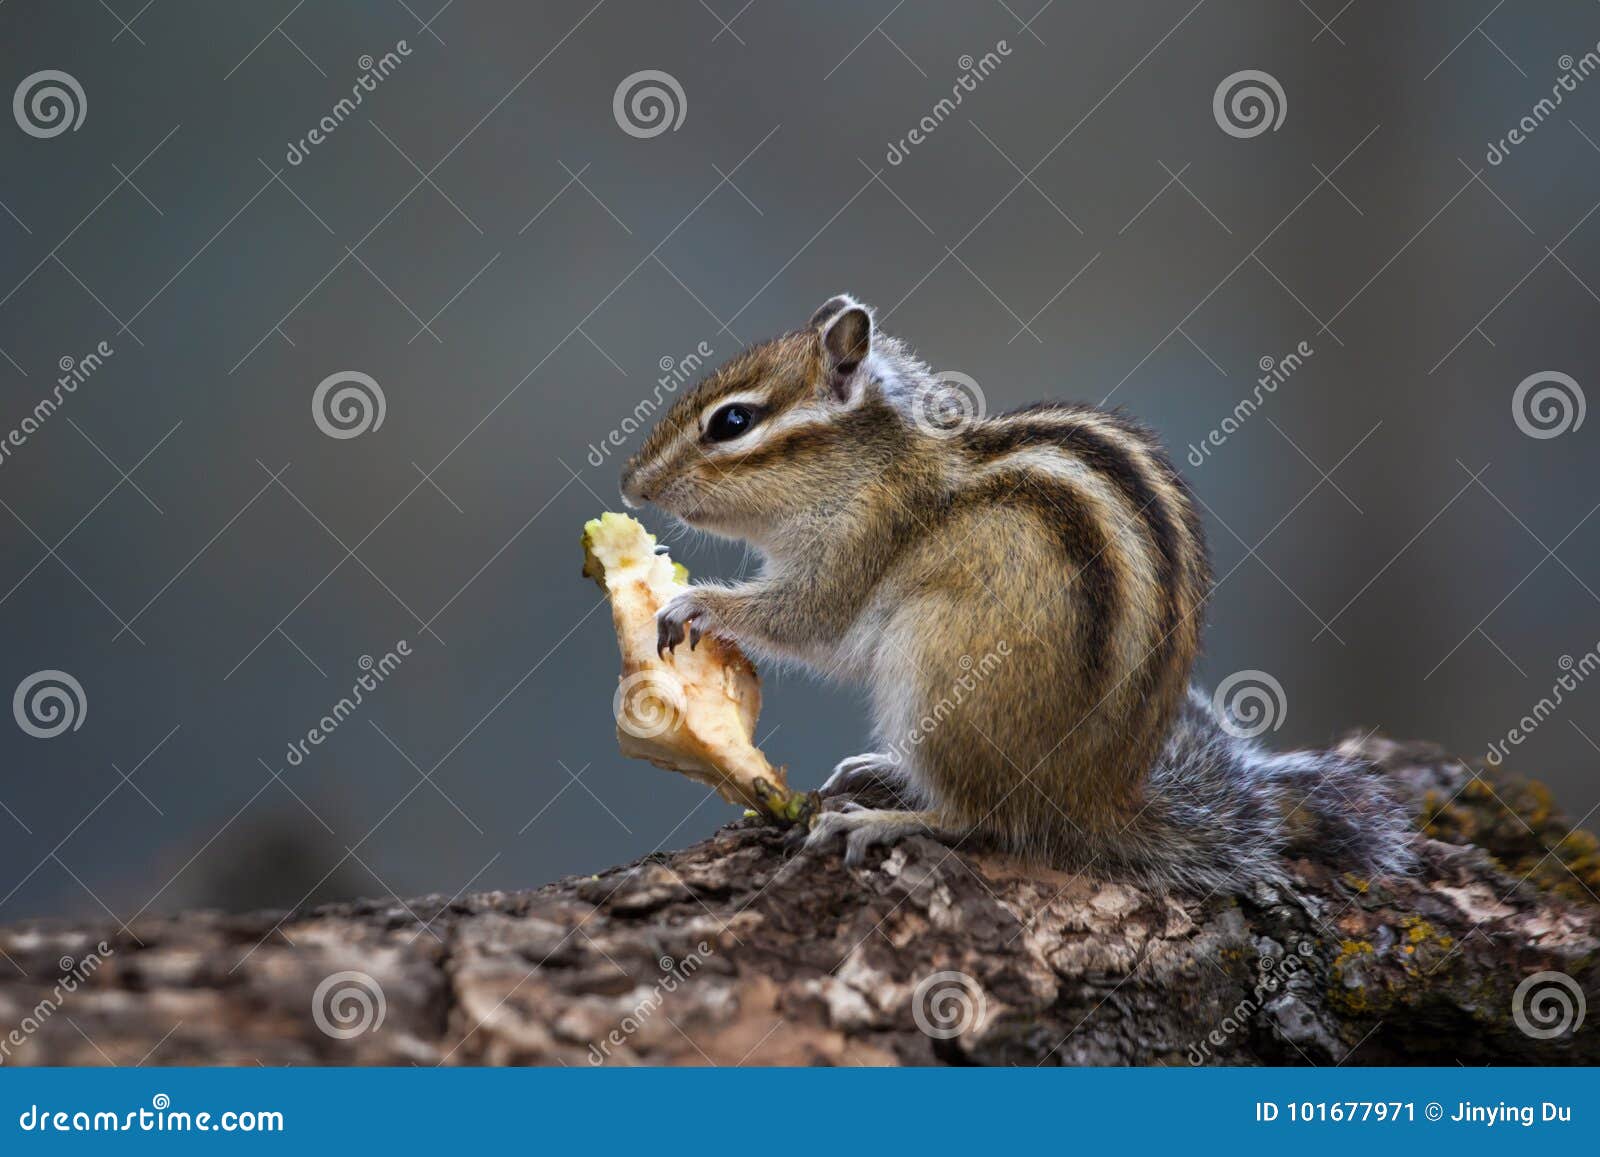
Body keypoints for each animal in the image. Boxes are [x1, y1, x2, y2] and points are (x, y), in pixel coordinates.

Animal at [619, 294, 1415, 892]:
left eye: (732, 421)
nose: (632, 485)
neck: (870, 464)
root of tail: (1093, 799)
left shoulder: (856, 546)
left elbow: (807, 620)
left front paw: (697, 604)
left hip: (939, 666)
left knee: (985, 819)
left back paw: (881, 819)